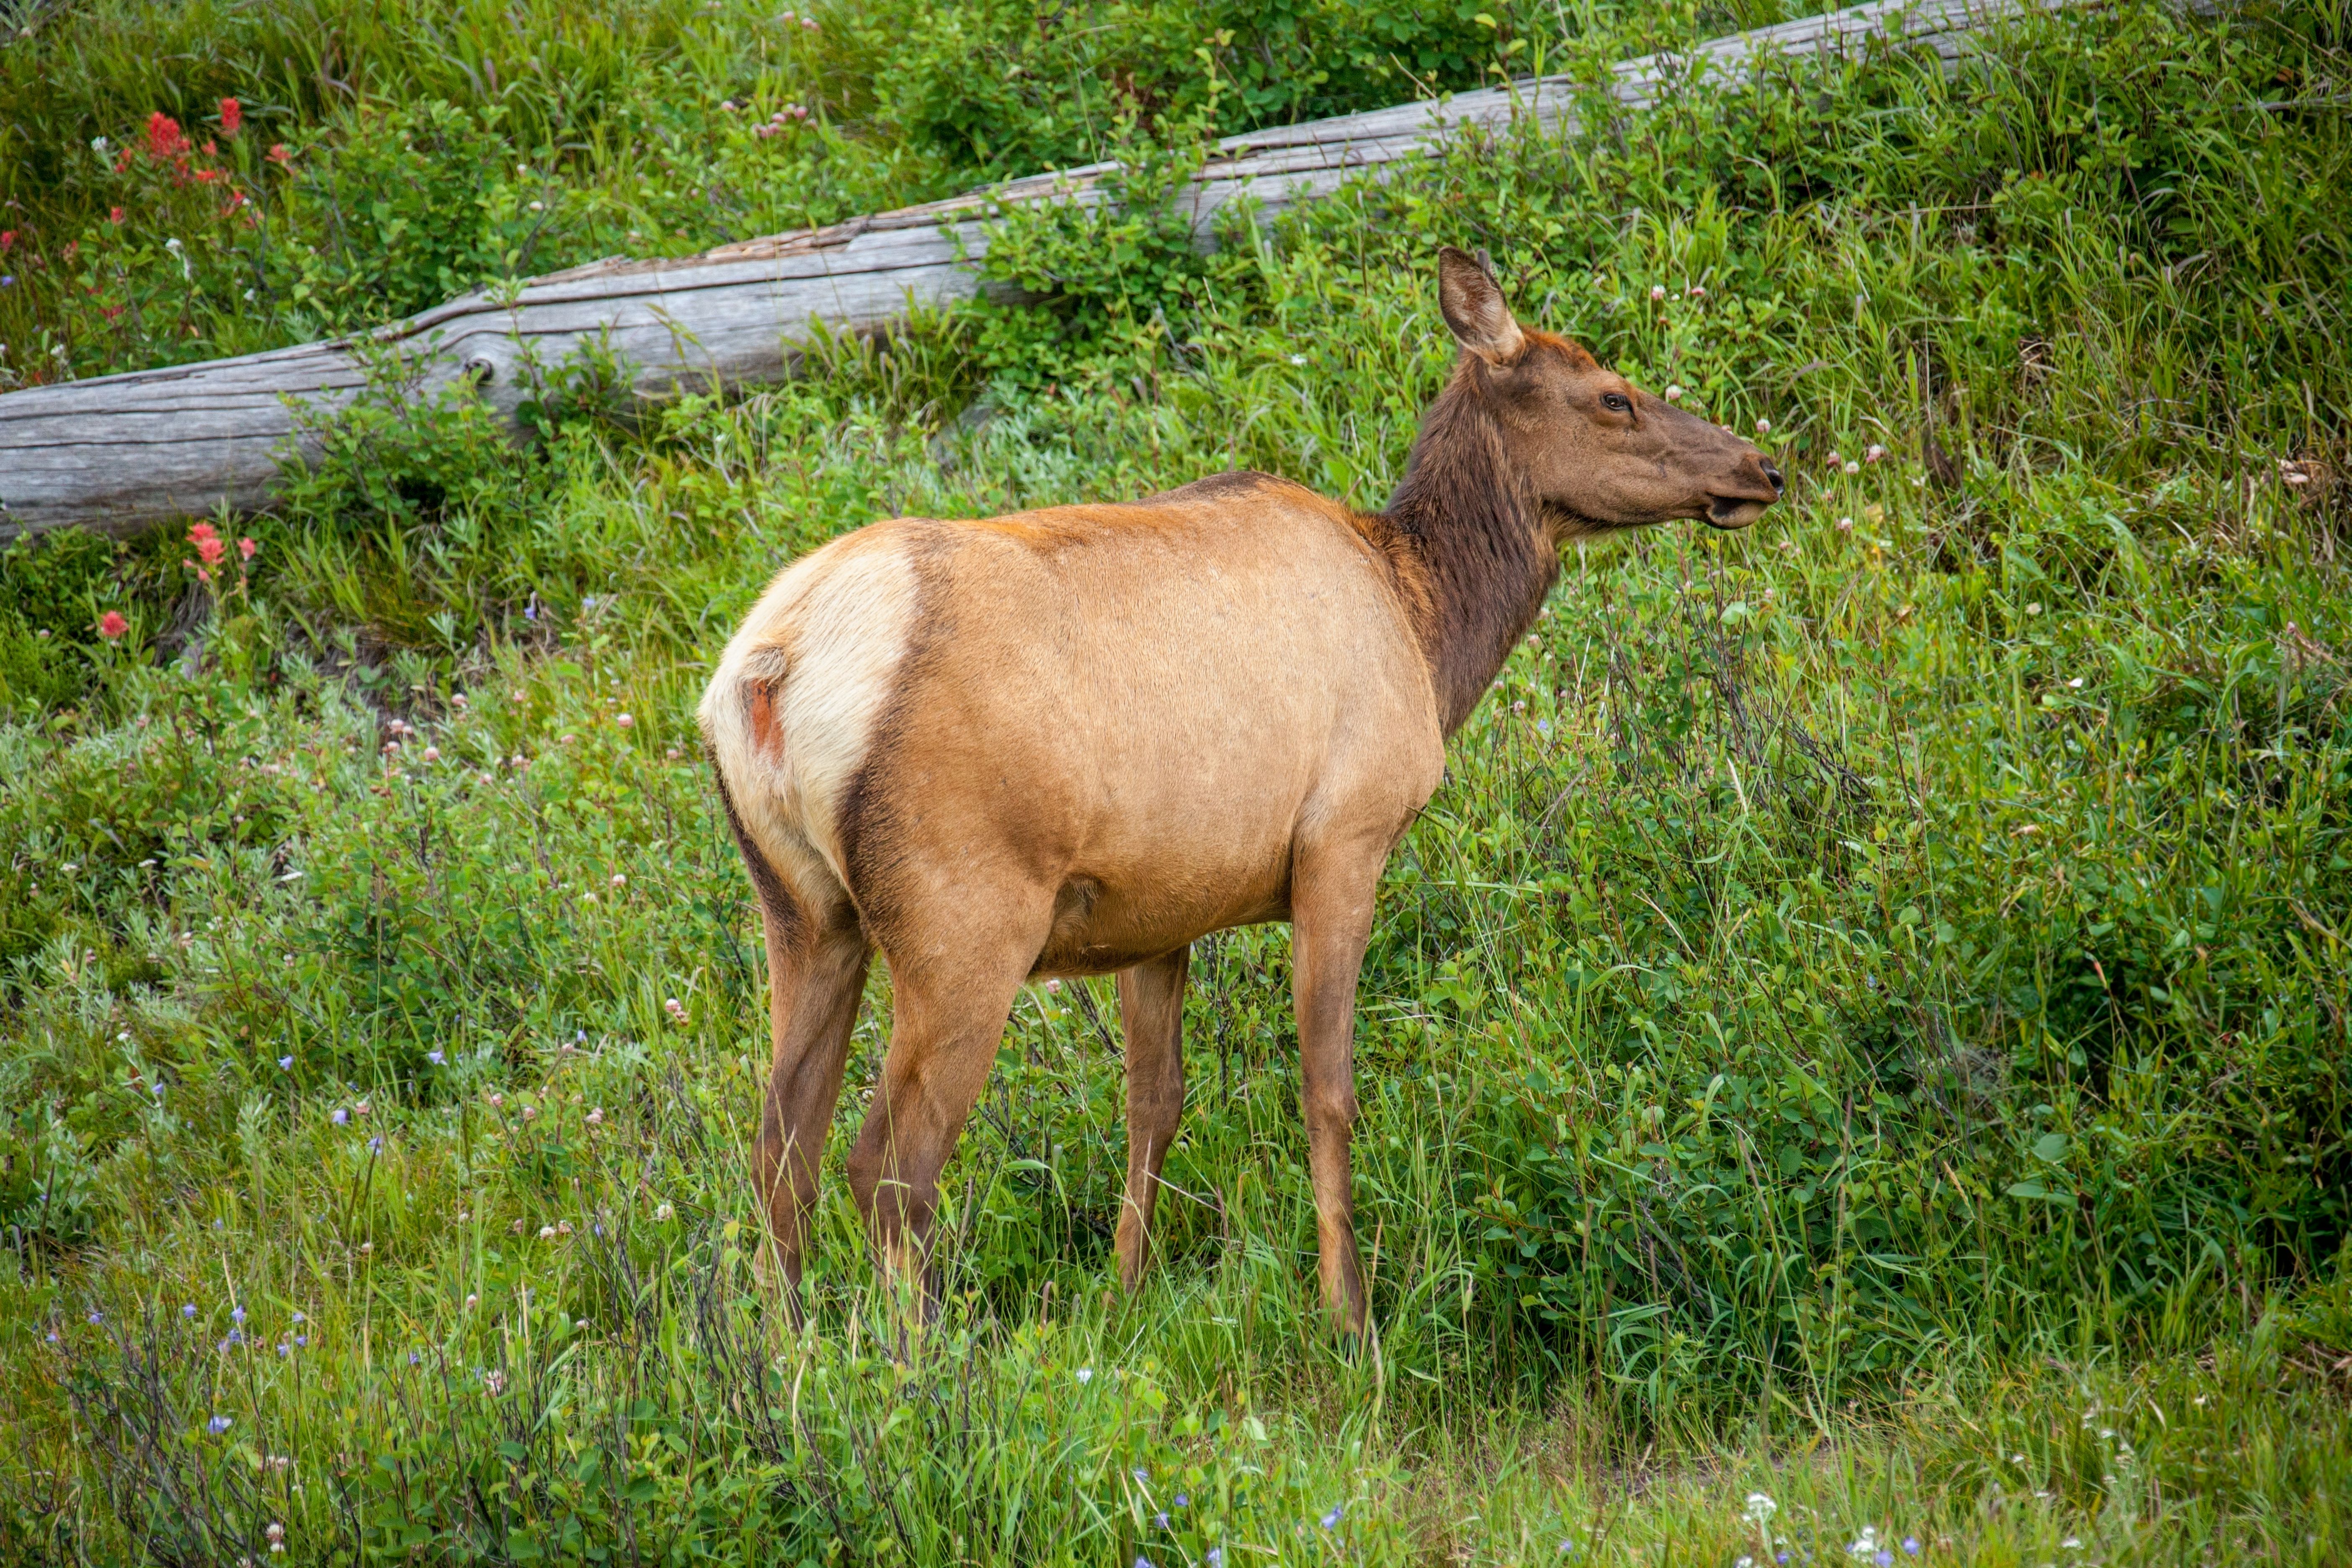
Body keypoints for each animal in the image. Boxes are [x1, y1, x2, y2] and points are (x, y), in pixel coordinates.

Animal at [699, 246, 1783, 1334]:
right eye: (1613, 396)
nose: (1760, 467)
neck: (1429, 625)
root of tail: (769, 667)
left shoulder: (1158, 910)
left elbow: (1155, 1099)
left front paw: (1128, 1292)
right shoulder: (1345, 836)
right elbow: (1327, 1086)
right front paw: (1348, 1313)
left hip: (803, 912)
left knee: (778, 1150)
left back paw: (786, 1352)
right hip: (962, 920)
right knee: (888, 1163)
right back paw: (920, 1357)